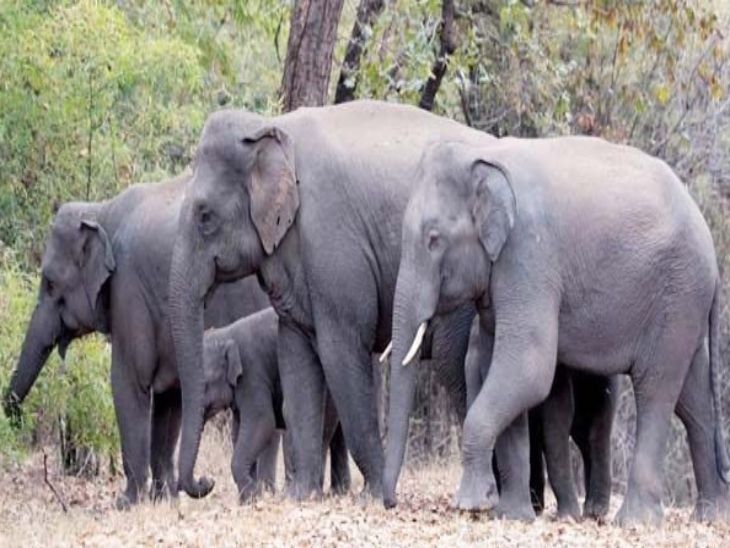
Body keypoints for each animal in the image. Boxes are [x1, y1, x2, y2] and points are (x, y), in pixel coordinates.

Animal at [2, 174, 271, 508]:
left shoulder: (128, 289)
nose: (17, 419)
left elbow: (128, 382)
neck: (101, 210)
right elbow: (169, 396)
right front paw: (163, 499)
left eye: (50, 283)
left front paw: (127, 502)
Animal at [201, 307, 350, 501]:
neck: (226, 334)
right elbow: (239, 429)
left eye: (204, 384)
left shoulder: (252, 374)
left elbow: (262, 422)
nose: (209, 481)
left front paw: (254, 496)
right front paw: (250, 498)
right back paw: (337, 492)